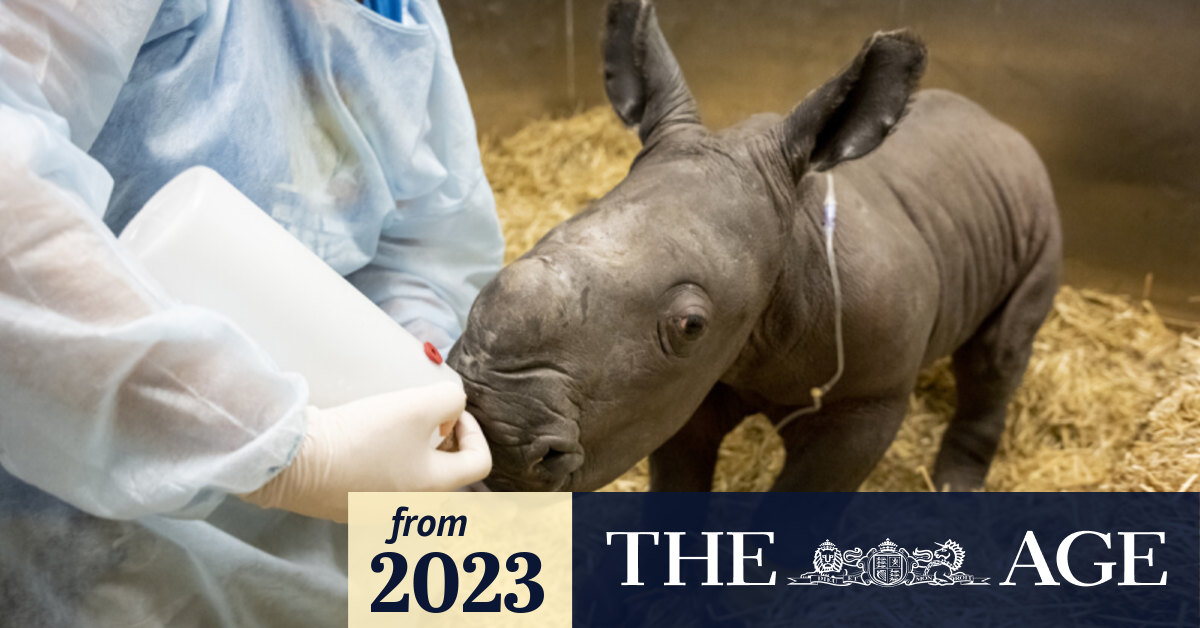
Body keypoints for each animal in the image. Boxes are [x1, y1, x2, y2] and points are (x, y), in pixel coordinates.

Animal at [448, 0, 1060, 492]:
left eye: (691, 325)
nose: (495, 428)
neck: (794, 250)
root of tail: (1001, 126)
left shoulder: (868, 400)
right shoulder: (677, 392)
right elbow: (678, 483)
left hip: (1041, 223)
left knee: (997, 355)